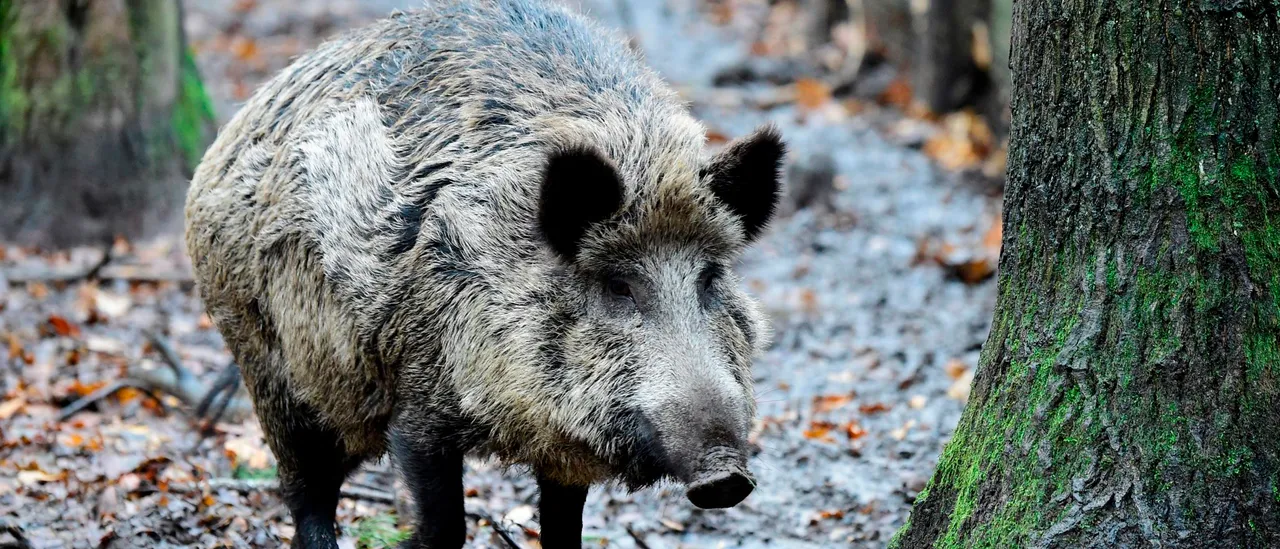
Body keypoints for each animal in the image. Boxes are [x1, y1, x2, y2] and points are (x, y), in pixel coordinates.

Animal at [183, 0, 785, 547]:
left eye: (710, 278)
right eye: (618, 285)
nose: (726, 475)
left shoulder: (564, 452)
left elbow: (563, 531)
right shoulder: (418, 407)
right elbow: (443, 525)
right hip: (271, 367)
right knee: (304, 492)